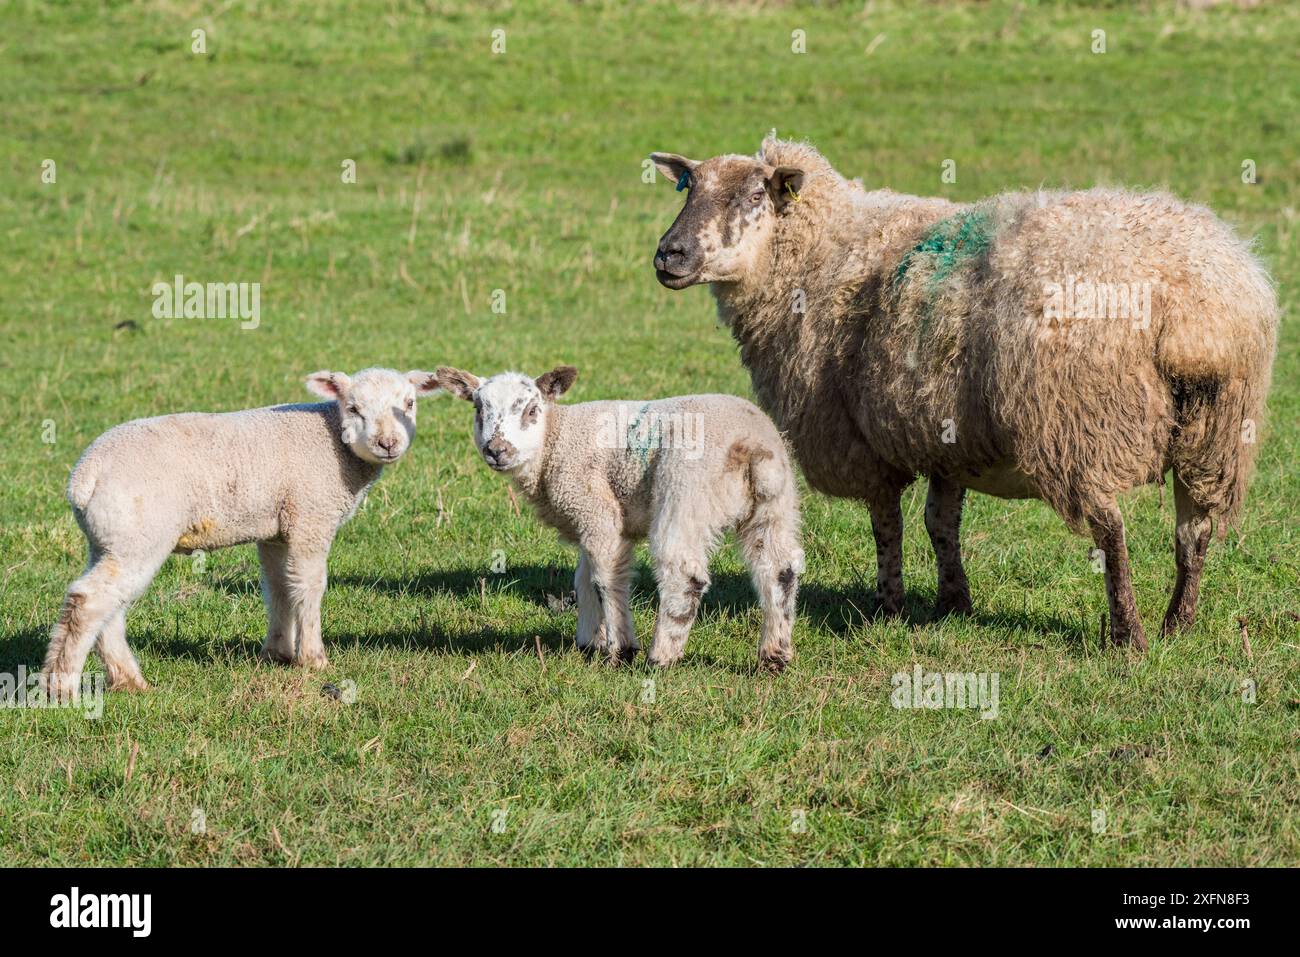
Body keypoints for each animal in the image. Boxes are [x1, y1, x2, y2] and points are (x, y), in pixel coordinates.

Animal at [42, 367, 440, 697]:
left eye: (409, 404)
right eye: (355, 408)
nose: (388, 444)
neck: (332, 439)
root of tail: (85, 475)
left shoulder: (277, 529)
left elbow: (278, 586)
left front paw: (278, 652)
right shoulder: (310, 518)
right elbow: (309, 587)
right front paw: (313, 658)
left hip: (108, 539)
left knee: (109, 607)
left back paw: (127, 680)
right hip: (139, 534)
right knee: (90, 601)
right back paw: (62, 687)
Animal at [435, 365, 804, 670]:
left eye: (531, 410)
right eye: (478, 409)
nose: (497, 451)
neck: (557, 439)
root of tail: (752, 444)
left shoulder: (596, 509)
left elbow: (605, 581)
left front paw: (619, 650)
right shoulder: (589, 516)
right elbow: (582, 579)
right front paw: (588, 642)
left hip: (686, 491)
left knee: (684, 576)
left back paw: (661, 658)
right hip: (776, 504)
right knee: (780, 570)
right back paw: (774, 656)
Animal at [650, 134, 1278, 650]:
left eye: (755, 195)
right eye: (689, 189)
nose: (668, 255)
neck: (823, 252)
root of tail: (1194, 308)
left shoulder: (863, 441)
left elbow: (888, 523)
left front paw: (889, 607)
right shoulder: (942, 432)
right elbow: (940, 522)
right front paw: (953, 603)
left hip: (1078, 423)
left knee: (1113, 531)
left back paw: (1131, 636)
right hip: (1216, 432)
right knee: (1195, 530)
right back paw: (1178, 625)